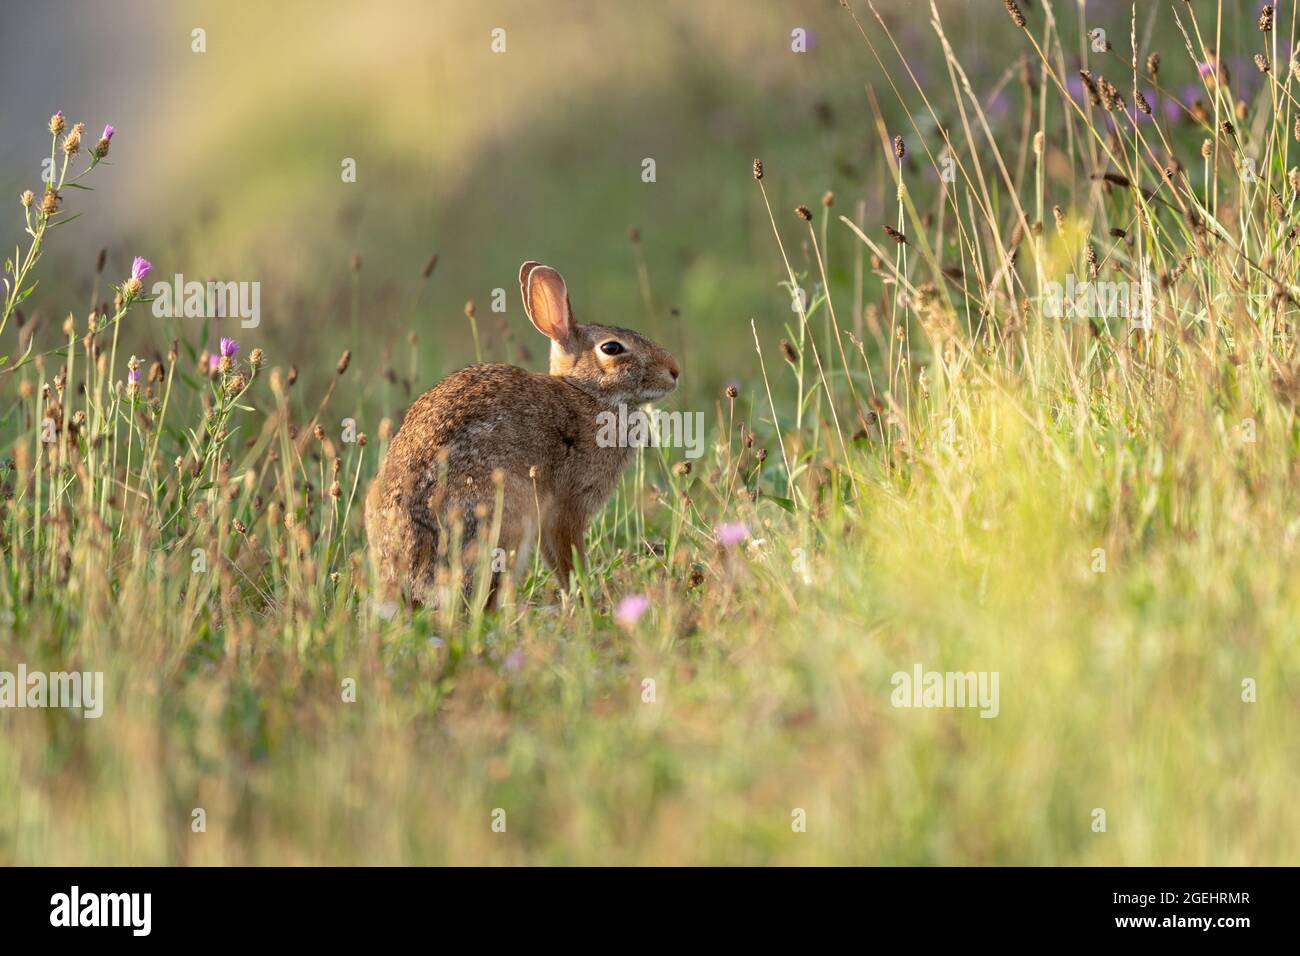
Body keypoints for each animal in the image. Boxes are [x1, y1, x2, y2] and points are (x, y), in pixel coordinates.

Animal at [365, 260, 680, 609]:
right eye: (612, 348)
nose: (674, 371)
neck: (586, 392)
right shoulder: (566, 508)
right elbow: (569, 557)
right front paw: (584, 599)